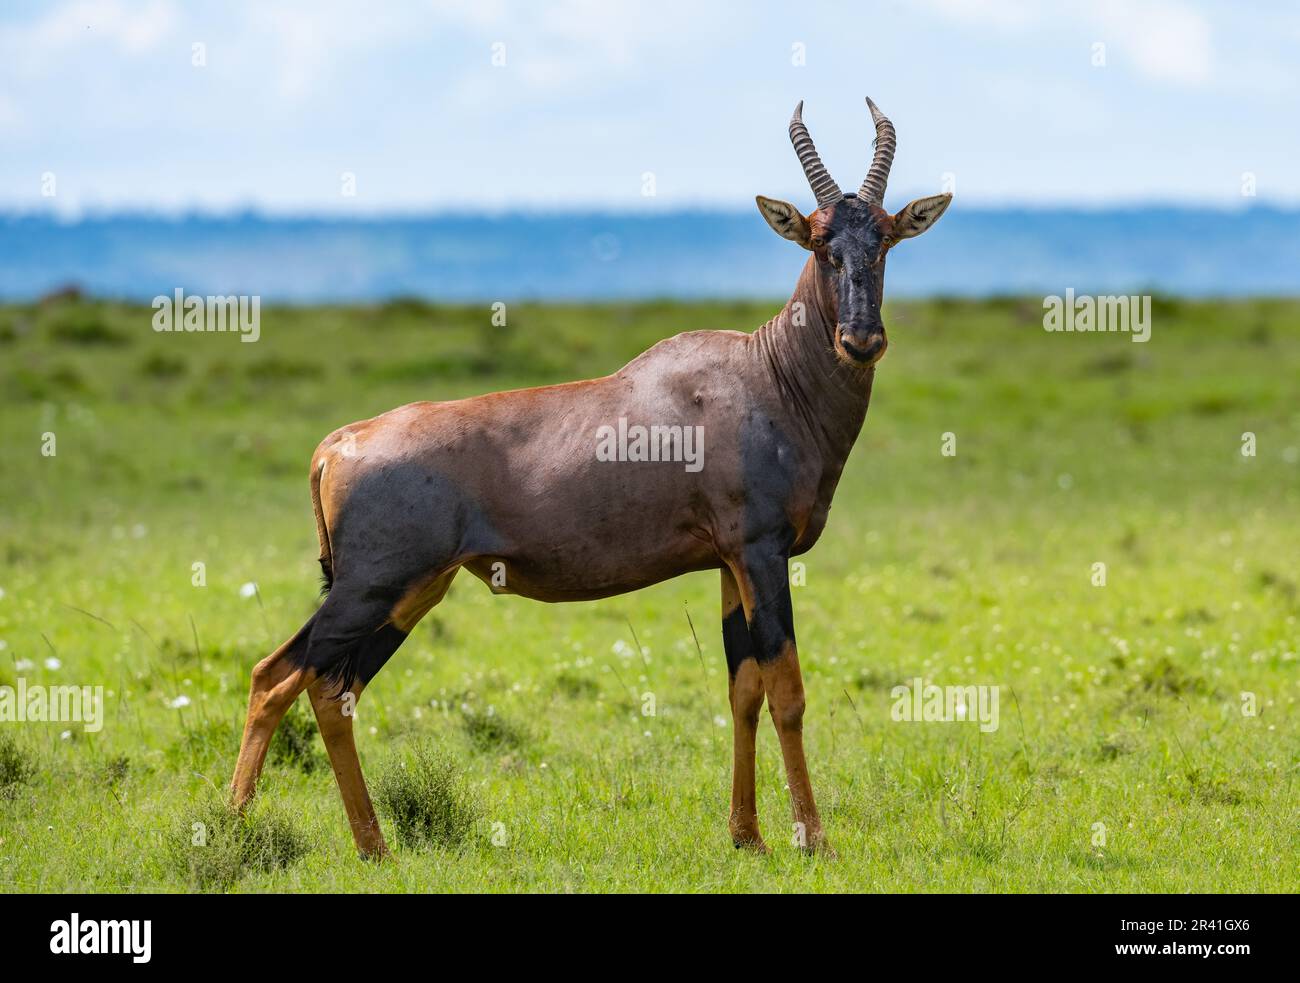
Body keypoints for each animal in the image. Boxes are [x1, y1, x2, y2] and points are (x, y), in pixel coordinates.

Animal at [230, 98, 951, 858]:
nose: (862, 341)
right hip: (371, 585)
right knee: (276, 675)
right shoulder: (762, 551)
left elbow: (743, 690)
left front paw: (747, 836)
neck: (766, 373)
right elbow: (787, 689)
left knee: (331, 689)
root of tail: (338, 444)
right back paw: (234, 829)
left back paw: (371, 846)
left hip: (412, 591)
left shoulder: (731, 562)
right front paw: (812, 839)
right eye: (818, 242)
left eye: (886, 239)